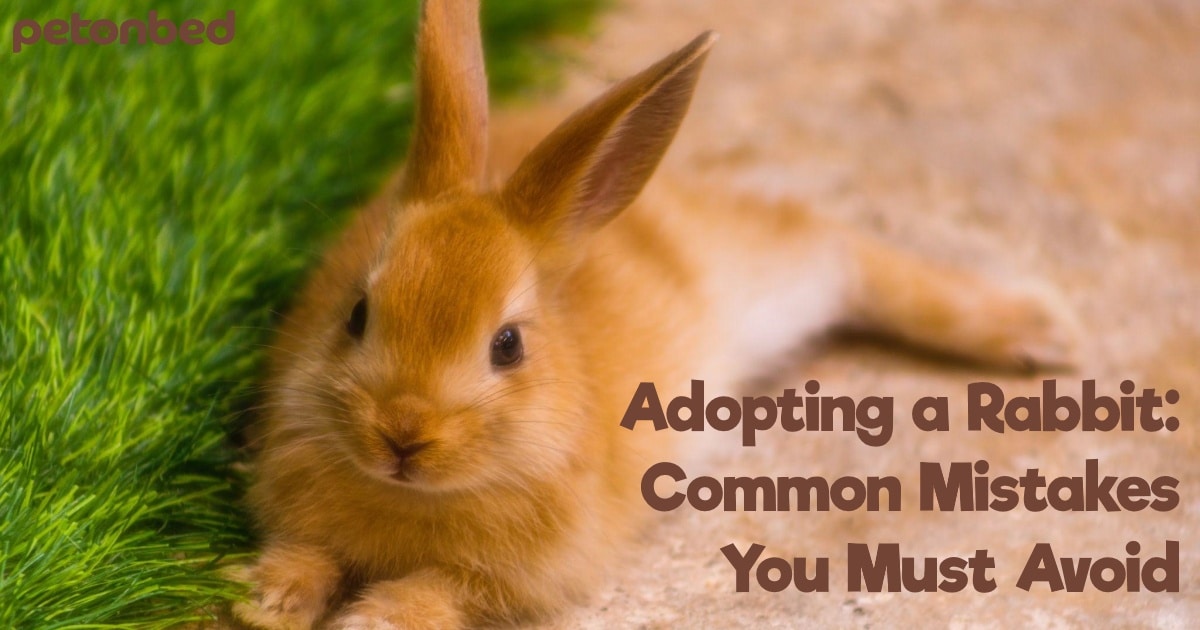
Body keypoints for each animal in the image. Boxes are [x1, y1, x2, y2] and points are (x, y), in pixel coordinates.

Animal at [232, 1, 1078, 628]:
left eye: (507, 346)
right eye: (357, 313)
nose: (402, 435)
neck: (414, 493)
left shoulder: (520, 575)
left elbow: (436, 592)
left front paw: (368, 617)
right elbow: (309, 554)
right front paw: (266, 598)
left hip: (761, 283)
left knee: (836, 247)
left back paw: (1036, 332)